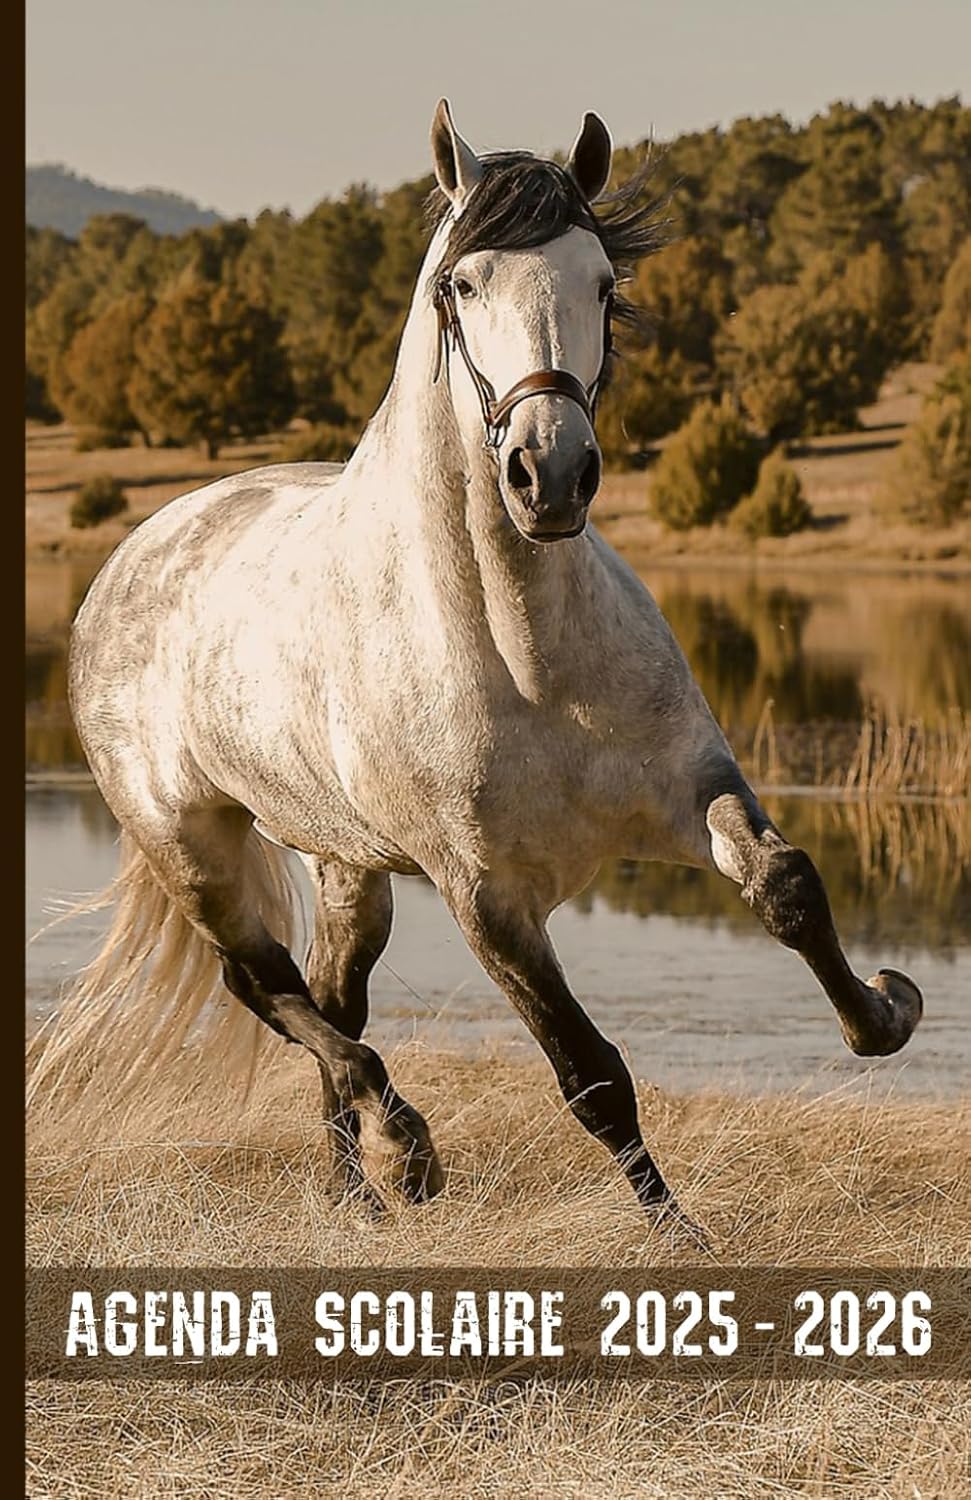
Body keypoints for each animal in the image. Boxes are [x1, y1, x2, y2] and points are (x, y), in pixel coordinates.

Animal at [30, 100, 922, 1230]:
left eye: (602, 281)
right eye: (461, 284)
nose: (550, 474)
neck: (524, 655)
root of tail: (133, 555)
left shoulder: (689, 792)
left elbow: (788, 886)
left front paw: (883, 1012)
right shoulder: (488, 899)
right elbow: (590, 1075)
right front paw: (679, 1240)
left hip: (348, 865)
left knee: (329, 996)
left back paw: (357, 1200)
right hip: (192, 847)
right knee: (265, 988)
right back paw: (404, 1152)